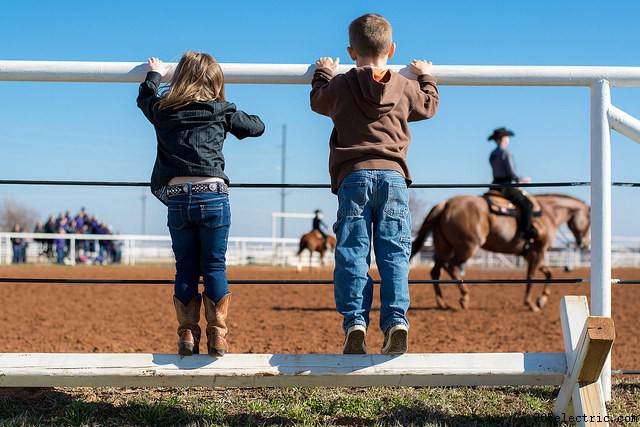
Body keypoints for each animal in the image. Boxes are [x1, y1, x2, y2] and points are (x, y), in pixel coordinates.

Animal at [410, 194, 592, 310]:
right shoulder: (537, 252)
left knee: (436, 271)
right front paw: (530, 303)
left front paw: (542, 299)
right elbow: (532, 276)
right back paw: (464, 297)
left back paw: (442, 303)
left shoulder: (532, 255)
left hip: (444, 248)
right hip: (467, 247)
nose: (584, 244)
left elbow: (549, 274)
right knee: (452, 267)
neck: (548, 214)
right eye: (589, 220)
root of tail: (446, 203)